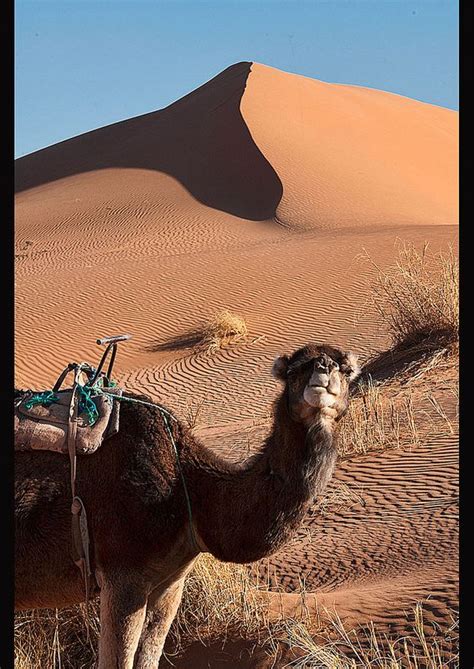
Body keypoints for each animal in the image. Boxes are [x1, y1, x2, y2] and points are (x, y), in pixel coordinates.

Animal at [15, 343, 360, 668]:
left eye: (344, 369)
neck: (189, 490)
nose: (323, 369)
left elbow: (148, 658)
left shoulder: (170, 583)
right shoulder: (123, 573)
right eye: (295, 370)